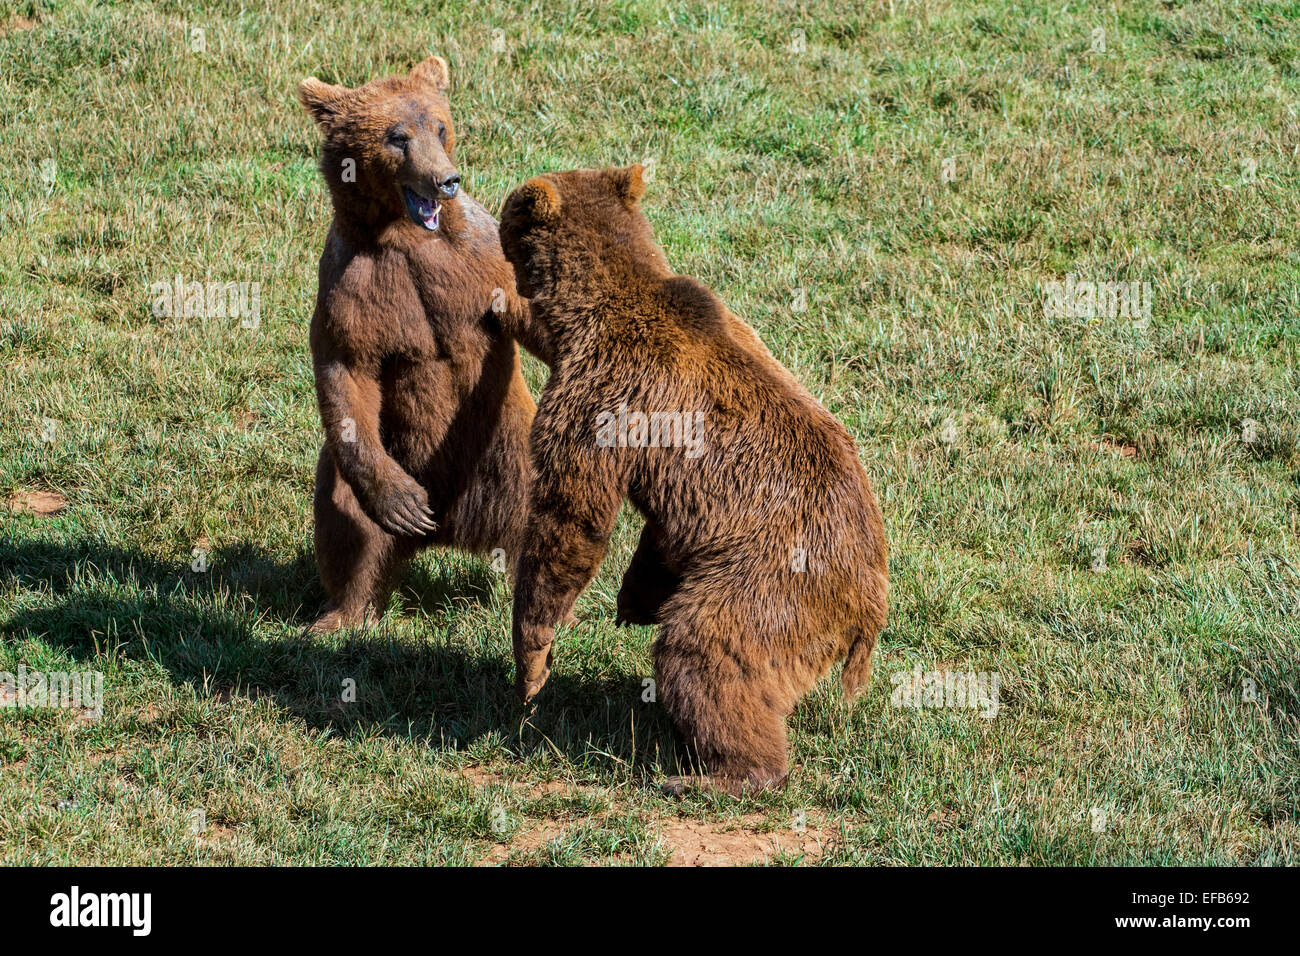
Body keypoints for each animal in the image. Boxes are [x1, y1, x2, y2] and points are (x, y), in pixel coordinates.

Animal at [298, 57, 552, 633]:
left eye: (439, 126)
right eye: (397, 136)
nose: (446, 180)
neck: (404, 234)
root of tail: (453, 529)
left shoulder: (477, 259)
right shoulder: (355, 283)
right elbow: (347, 367)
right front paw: (401, 504)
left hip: (508, 449)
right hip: (392, 448)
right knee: (347, 519)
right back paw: (341, 614)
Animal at [497, 164, 889, 795]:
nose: (492, 203)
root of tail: (870, 602)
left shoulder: (602, 401)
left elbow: (569, 521)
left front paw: (531, 667)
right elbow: (656, 538)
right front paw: (633, 597)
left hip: (776, 578)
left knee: (705, 650)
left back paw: (718, 774)